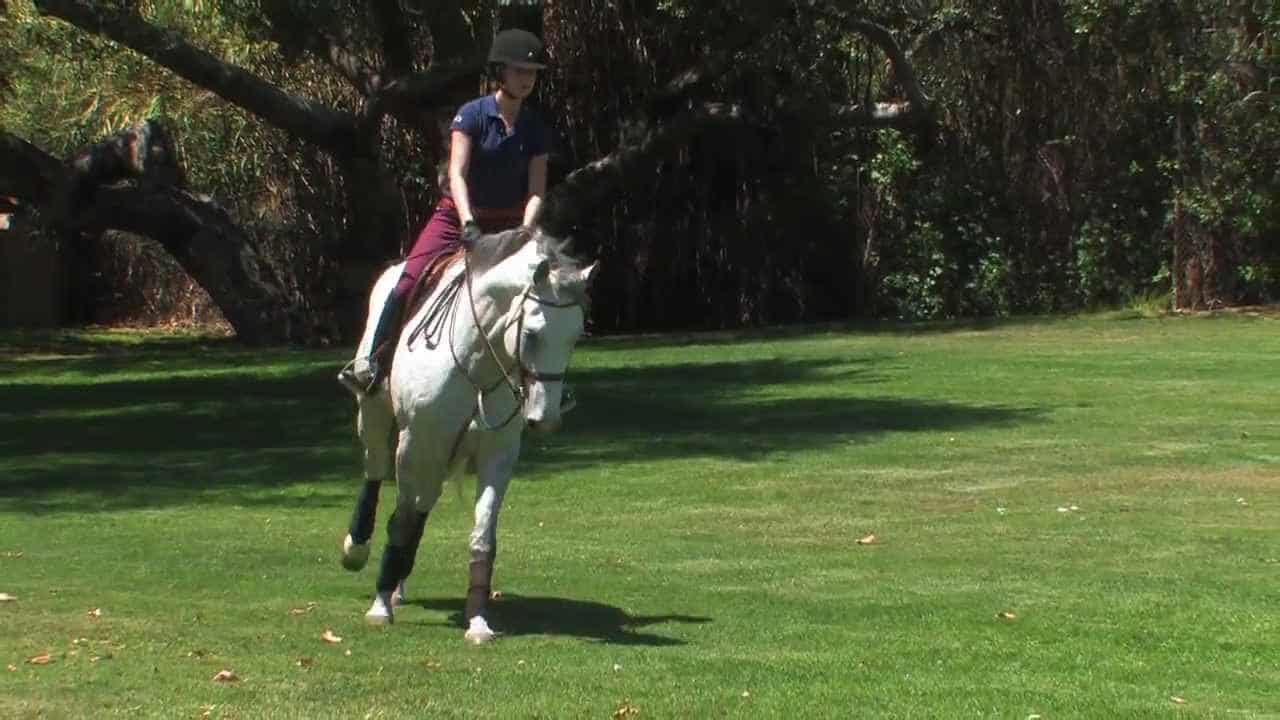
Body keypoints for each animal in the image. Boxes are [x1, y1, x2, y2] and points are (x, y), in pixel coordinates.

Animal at [336, 226, 595, 644]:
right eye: (532, 333)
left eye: (575, 338)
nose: (546, 418)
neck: (477, 362)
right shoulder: (415, 446)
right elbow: (401, 521)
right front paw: (379, 606)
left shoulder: (497, 455)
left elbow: (481, 536)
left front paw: (478, 621)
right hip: (374, 416)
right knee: (375, 474)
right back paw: (358, 553)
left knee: (419, 507)